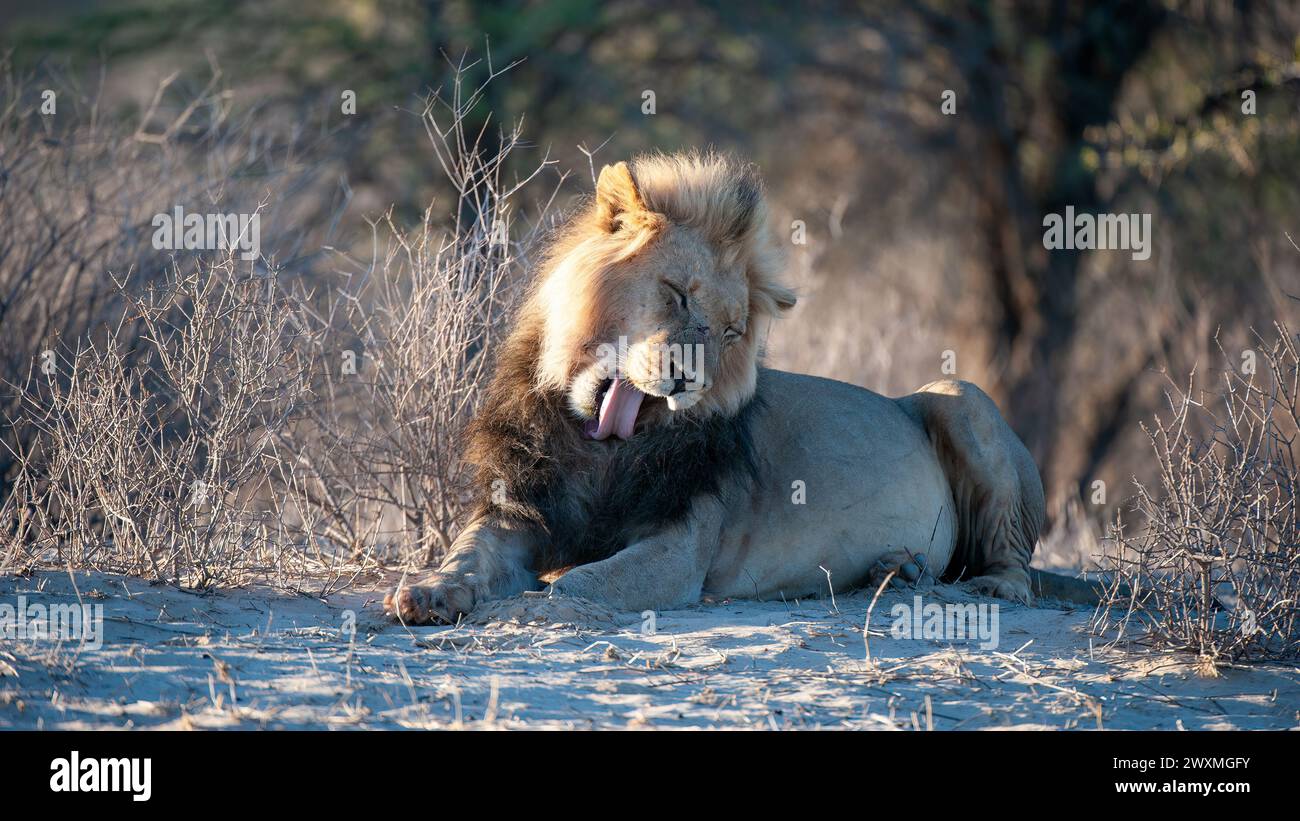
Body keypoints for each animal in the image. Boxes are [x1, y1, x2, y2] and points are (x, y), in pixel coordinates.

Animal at [385, 151, 1057, 625]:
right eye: (678, 294)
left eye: (733, 332)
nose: (687, 378)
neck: (600, 450)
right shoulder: (518, 507)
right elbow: (468, 550)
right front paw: (428, 590)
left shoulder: (679, 548)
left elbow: (582, 581)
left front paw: (533, 602)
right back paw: (897, 570)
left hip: (958, 394)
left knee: (1017, 566)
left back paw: (984, 584)